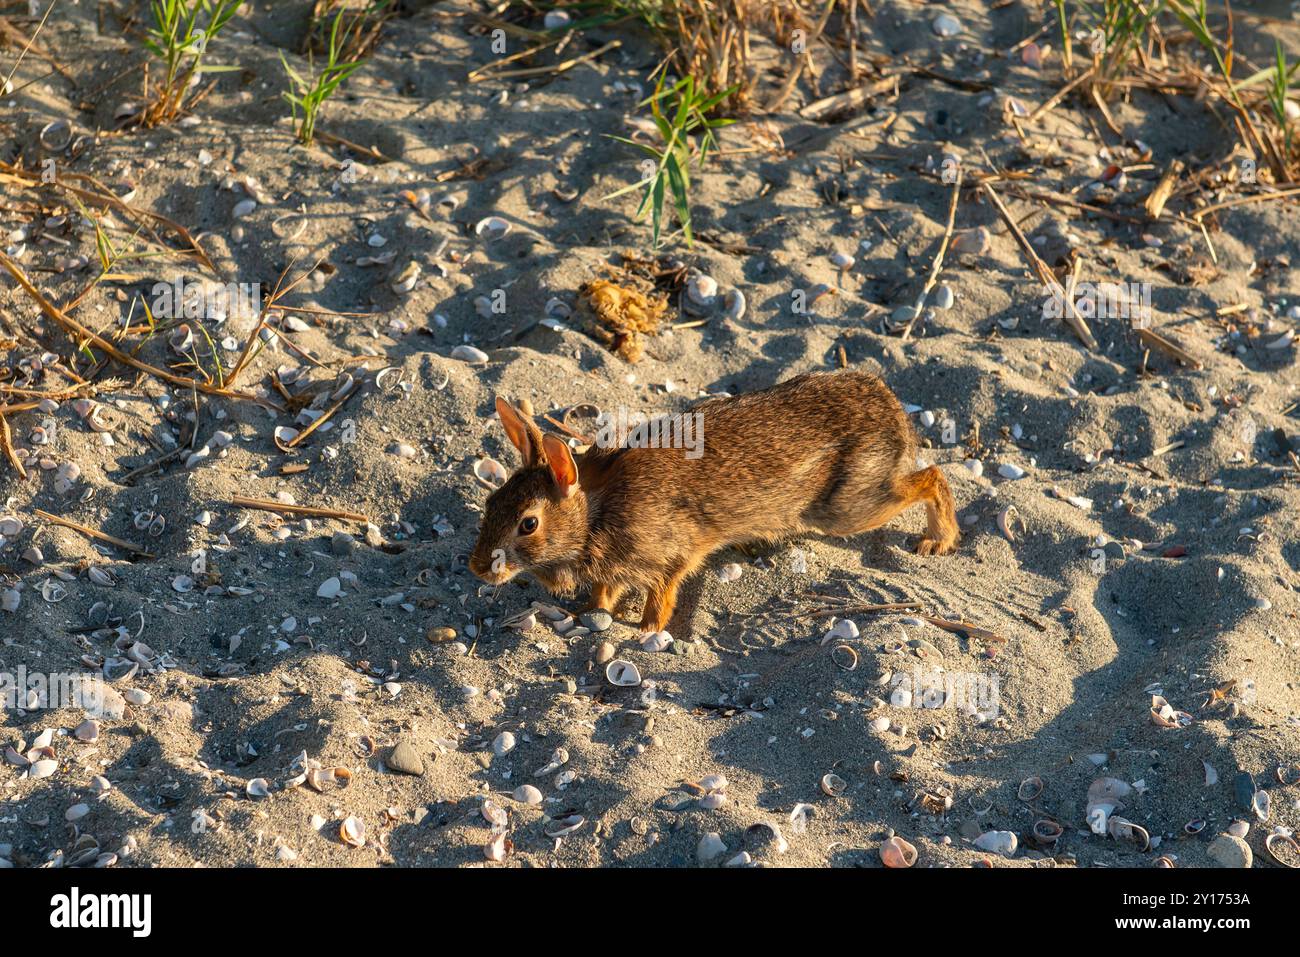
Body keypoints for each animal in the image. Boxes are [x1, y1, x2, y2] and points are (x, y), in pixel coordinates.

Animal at [469, 370, 959, 633]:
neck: (593, 512)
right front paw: (593, 612)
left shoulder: (671, 556)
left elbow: (662, 593)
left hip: (848, 506)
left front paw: (647, 629)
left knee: (932, 478)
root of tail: (891, 407)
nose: (477, 568)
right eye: (492, 502)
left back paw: (939, 540)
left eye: (528, 524)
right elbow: (604, 592)